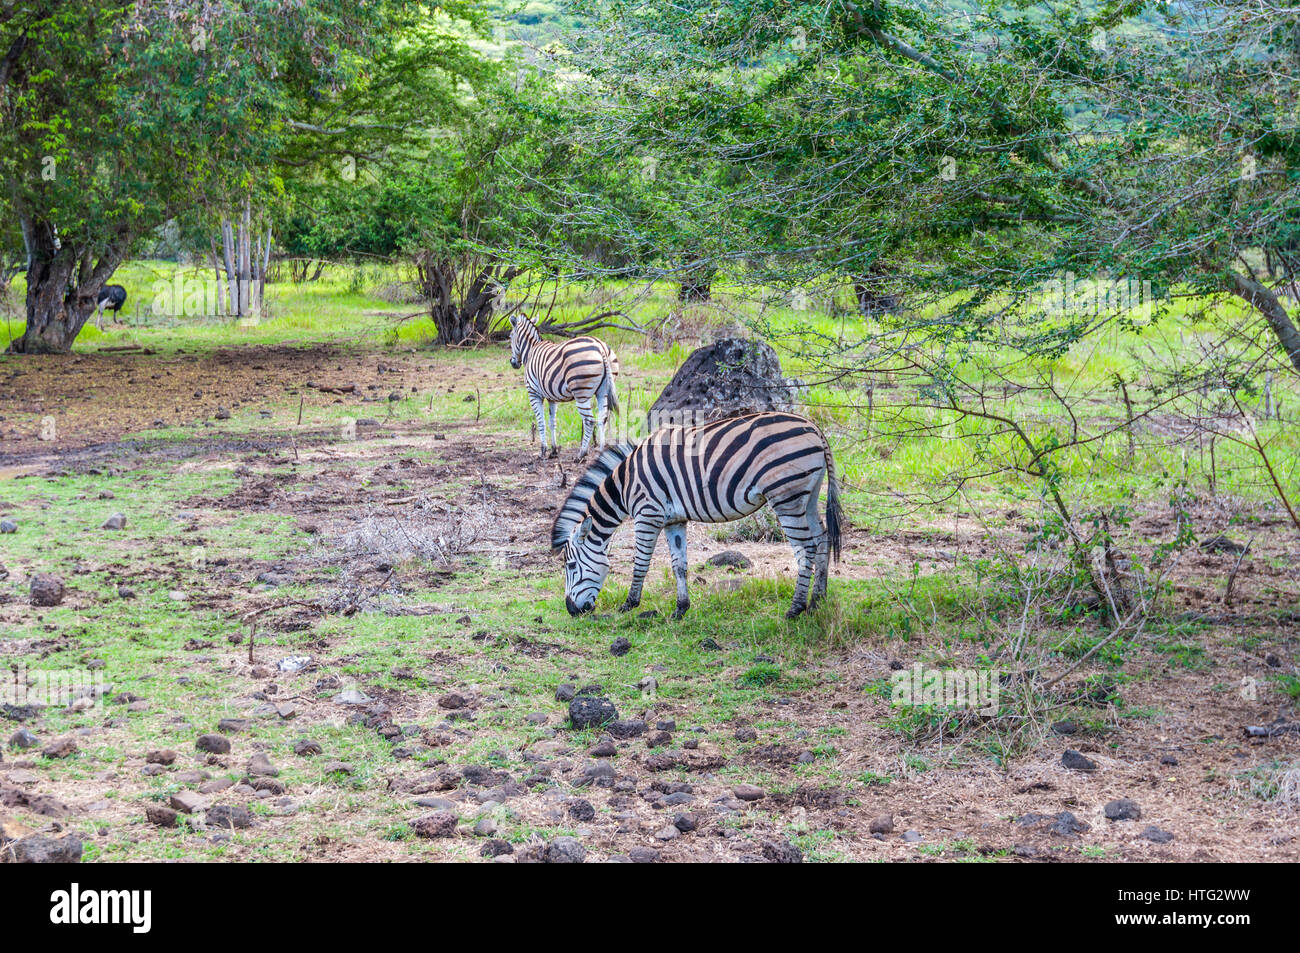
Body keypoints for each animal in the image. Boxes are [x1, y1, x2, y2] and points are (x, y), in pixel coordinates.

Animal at [509, 313, 620, 460]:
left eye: (510, 336)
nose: (513, 363)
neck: (531, 350)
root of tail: (600, 346)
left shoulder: (534, 393)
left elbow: (541, 422)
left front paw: (543, 451)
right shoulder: (551, 397)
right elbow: (552, 422)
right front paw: (554, 451)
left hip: (581, 394)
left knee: (589, 421)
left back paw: (581, 454)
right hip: (603, 391)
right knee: (603, 418)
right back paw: (601, 452)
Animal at [552, 411, 844, 620]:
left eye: (571, 566)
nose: (571, 611)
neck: (625, 485)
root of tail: (814, 428)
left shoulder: (648, 514)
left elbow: (640, 563)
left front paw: (629, 605)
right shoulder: (674, 520)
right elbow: (679, 565)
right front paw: (681, 609)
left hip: (786, 497)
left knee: (806, 547)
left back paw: (795, 609)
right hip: (807, 495)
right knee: (822, 538)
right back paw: (818, 601)